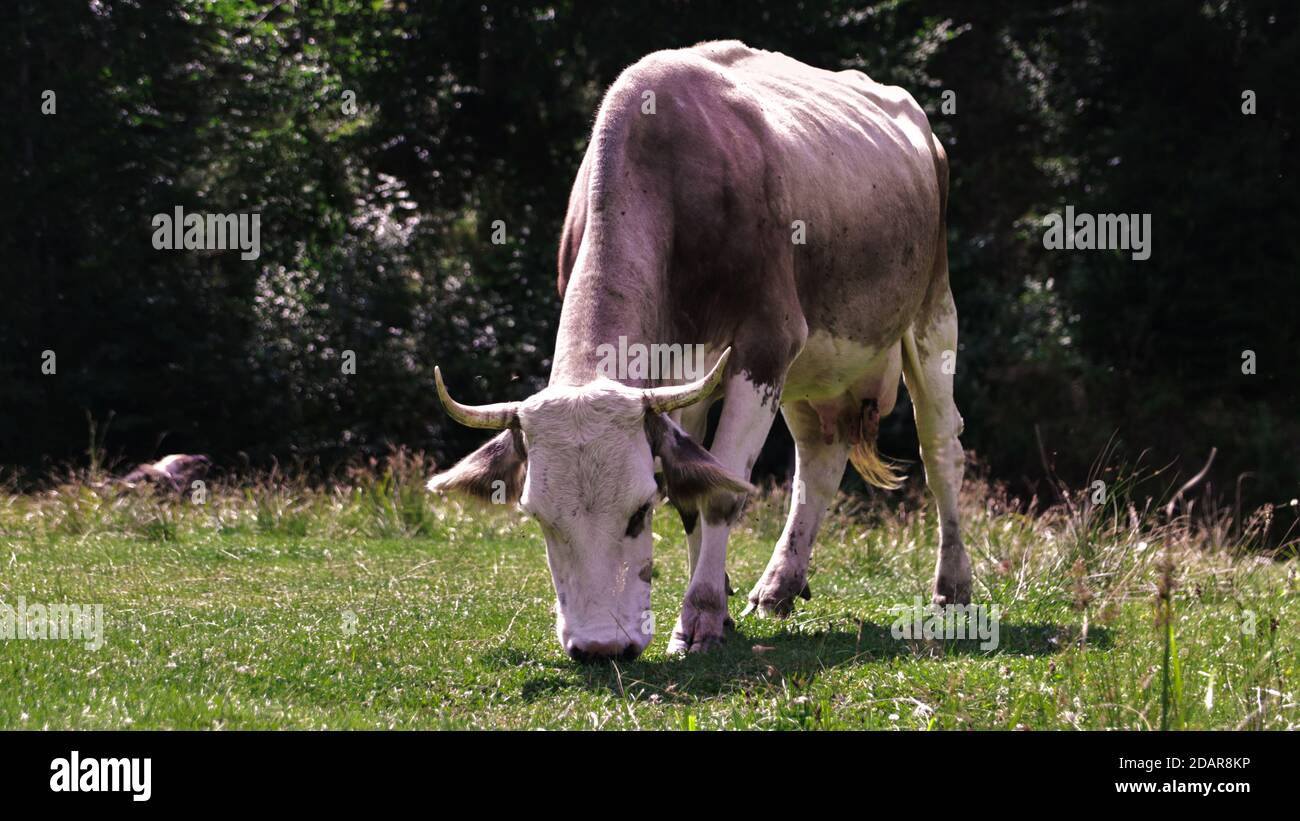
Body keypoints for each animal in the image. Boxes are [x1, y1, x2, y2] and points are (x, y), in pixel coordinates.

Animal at [429, 41, 969, 661]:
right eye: (538, 517)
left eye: (639, 510)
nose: (600, 648)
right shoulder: (678, 371)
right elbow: (692, 486)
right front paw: (718, 601)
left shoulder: (765, 343)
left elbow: (721, 492)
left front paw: (703, 616)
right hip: (816, 367)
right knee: (819, 458)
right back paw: (779, 584)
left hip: (931, 312)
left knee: (940, 448)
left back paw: (954, 585)